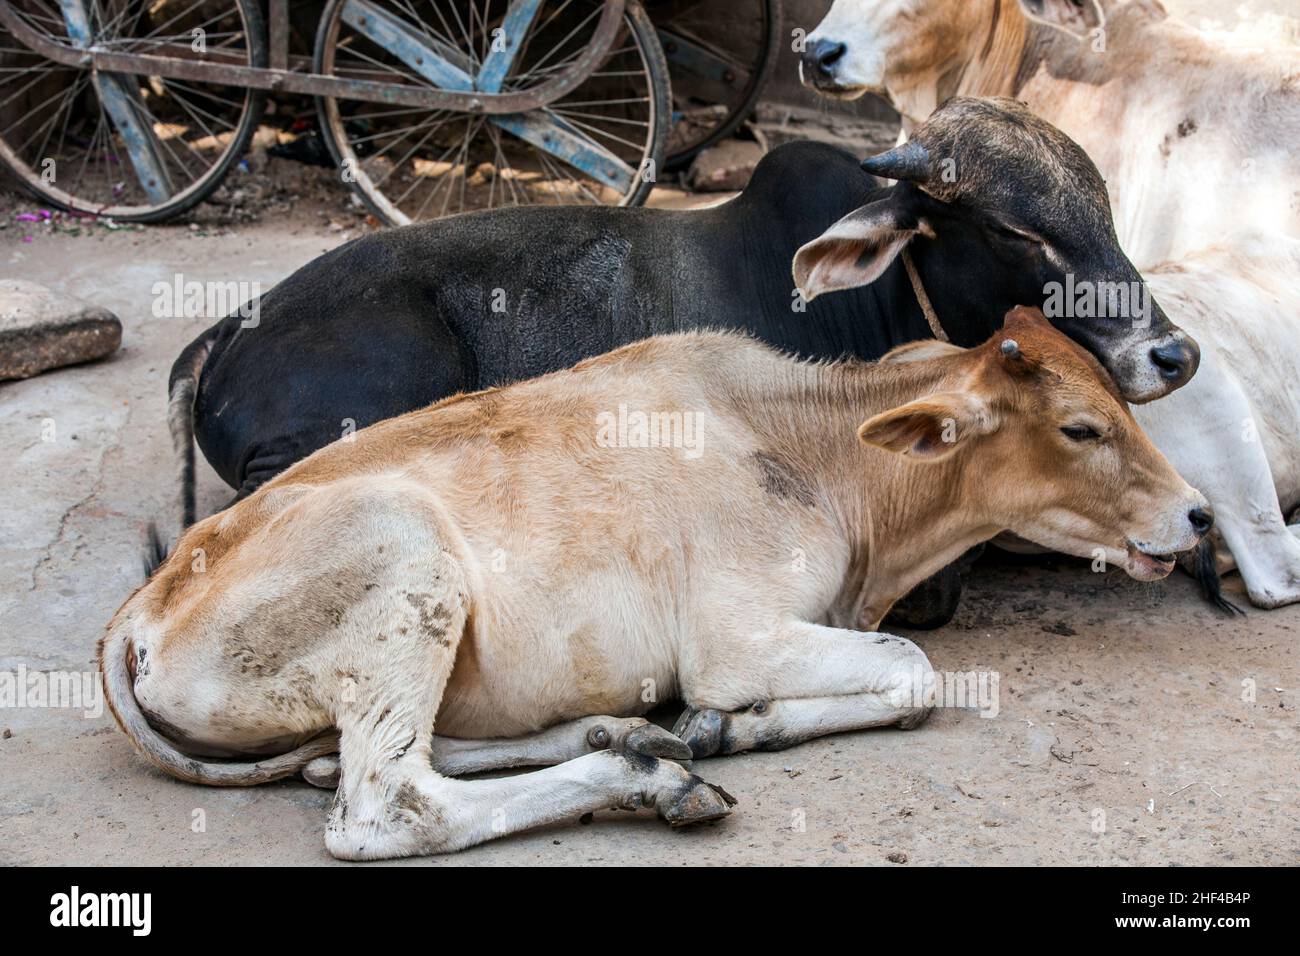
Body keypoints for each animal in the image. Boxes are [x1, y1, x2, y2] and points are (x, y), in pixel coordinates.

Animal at [102, 308, 1211, 859]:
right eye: (1081, 427)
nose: (1199, 514)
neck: (817, 455)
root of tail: (141, 608)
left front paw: (724, 726)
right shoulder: (737, 636)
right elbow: (912, 668)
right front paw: (733, 725)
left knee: (382, 758)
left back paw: (629, 733)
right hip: (405, 558)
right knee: (387, 804)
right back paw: (647, 776)